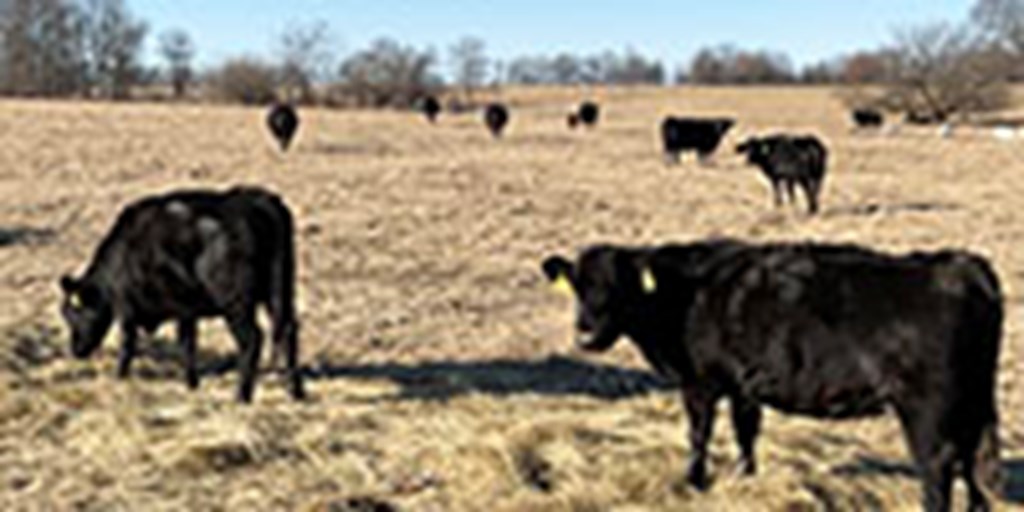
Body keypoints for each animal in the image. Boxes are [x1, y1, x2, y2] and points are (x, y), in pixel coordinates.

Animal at [59, 186, 305, 404]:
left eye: (73, 314)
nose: (75, 350)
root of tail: (259, 200)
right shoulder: (185, 310)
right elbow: (187, 344)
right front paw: (191, 383)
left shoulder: (127, 310)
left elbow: (128, 345)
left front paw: (119, 377)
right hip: (280, 294)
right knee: (288, 332)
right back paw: (296, 391)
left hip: (236, 305)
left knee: (252, 339)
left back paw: (241, 396)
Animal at [541, 240, 1003, 512]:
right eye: (578, 286)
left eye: (618, 285)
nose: (585, 332)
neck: (685, 293)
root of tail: (961, 264)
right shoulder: (744, 384)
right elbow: (745, 430)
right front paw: (746, 476)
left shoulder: (700, 382)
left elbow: (699, 433)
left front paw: (694, 481)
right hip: (971, 399)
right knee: (971, 456)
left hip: (929, 406)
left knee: (938, 463)